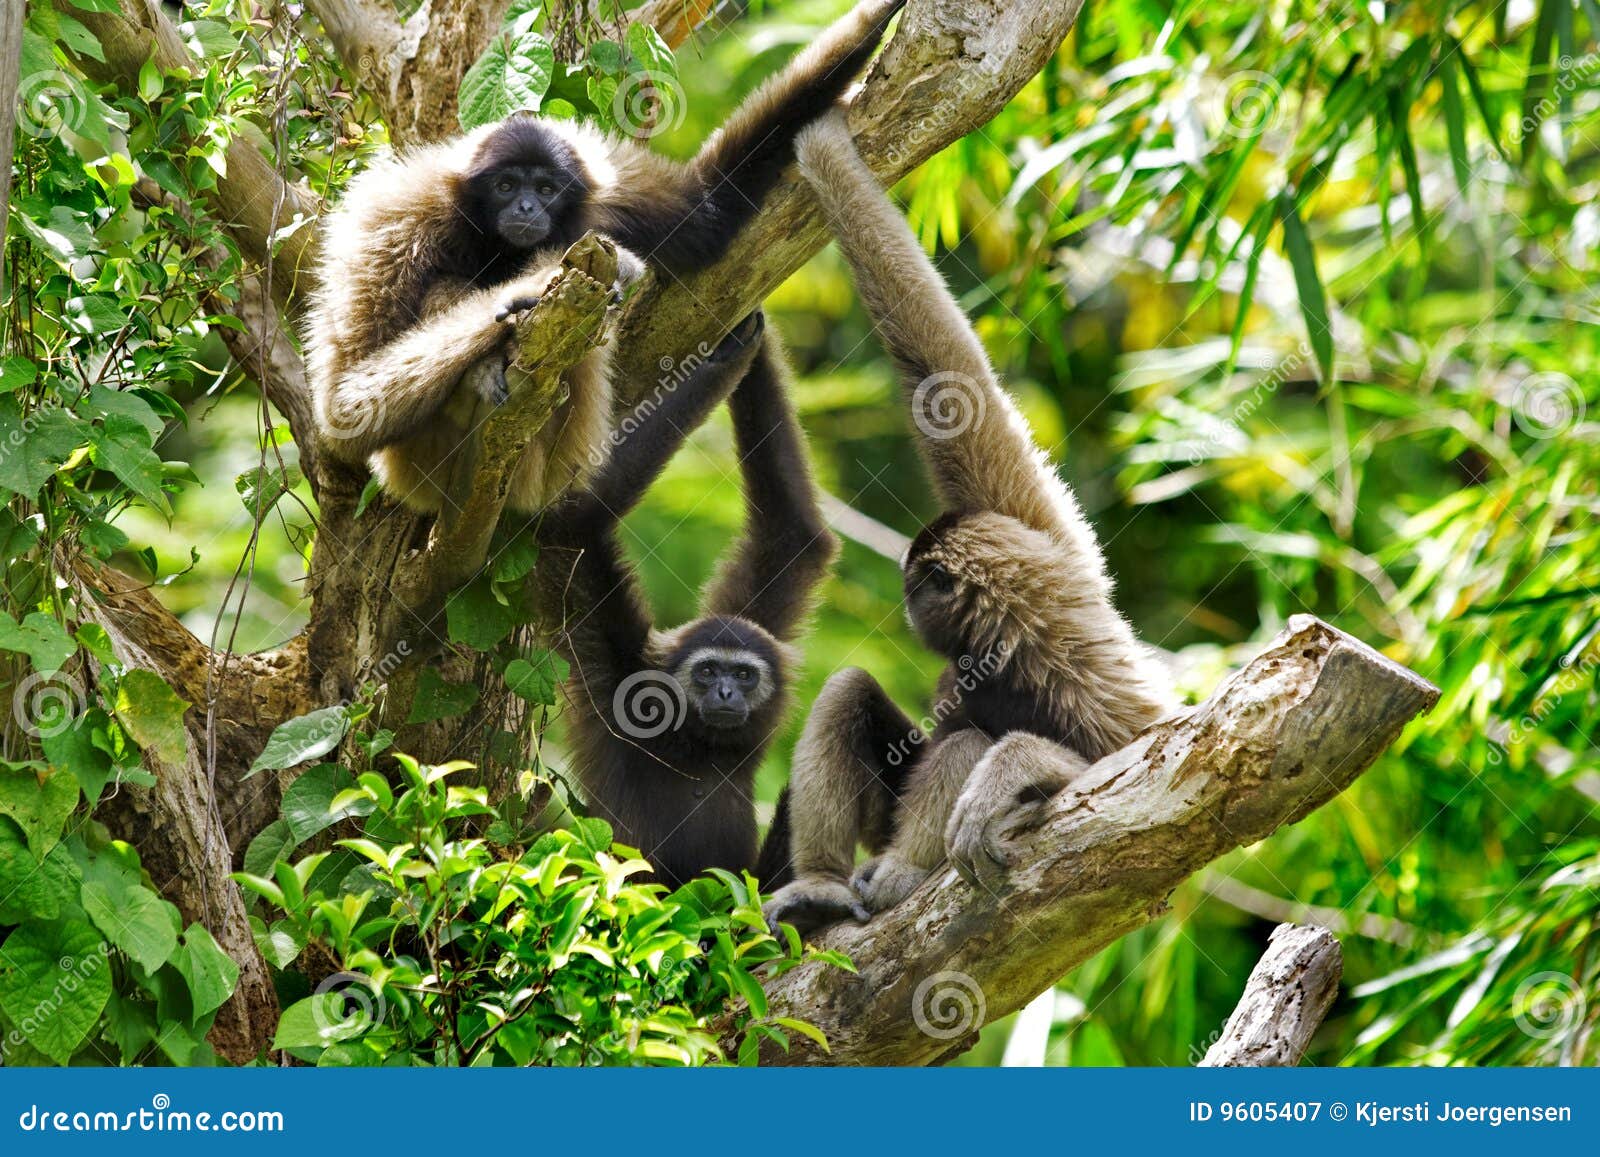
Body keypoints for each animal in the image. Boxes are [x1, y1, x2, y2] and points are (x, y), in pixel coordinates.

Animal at [304, 0, 905, 516]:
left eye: (546, 188)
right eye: (505, 185)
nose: (526, 205)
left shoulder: (610, 194)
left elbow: (709, 212)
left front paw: (878, 17)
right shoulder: (395, 218)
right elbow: (344, 408)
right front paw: (531, 287)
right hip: (415, 464)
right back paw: (484, 369)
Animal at [536, 312, 838, 890]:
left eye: (742, 674)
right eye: (707, 671)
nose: (724, 692)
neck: (689, 742)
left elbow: (791, 536)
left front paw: (753, 340)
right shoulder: (616, 668)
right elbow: (571, 520)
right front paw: (725, 359)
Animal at [762, 115, 1177, 934]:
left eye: (912, 590)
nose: (905, 608)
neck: (1007, 640)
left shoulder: (1082, 673)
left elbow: (1140, 763)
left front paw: (1012, 770)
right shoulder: (1043, 533)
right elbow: (950, 378)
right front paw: (823, 140)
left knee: (965, 744)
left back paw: (901, 873)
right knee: (852, 691)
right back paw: (821, 884)